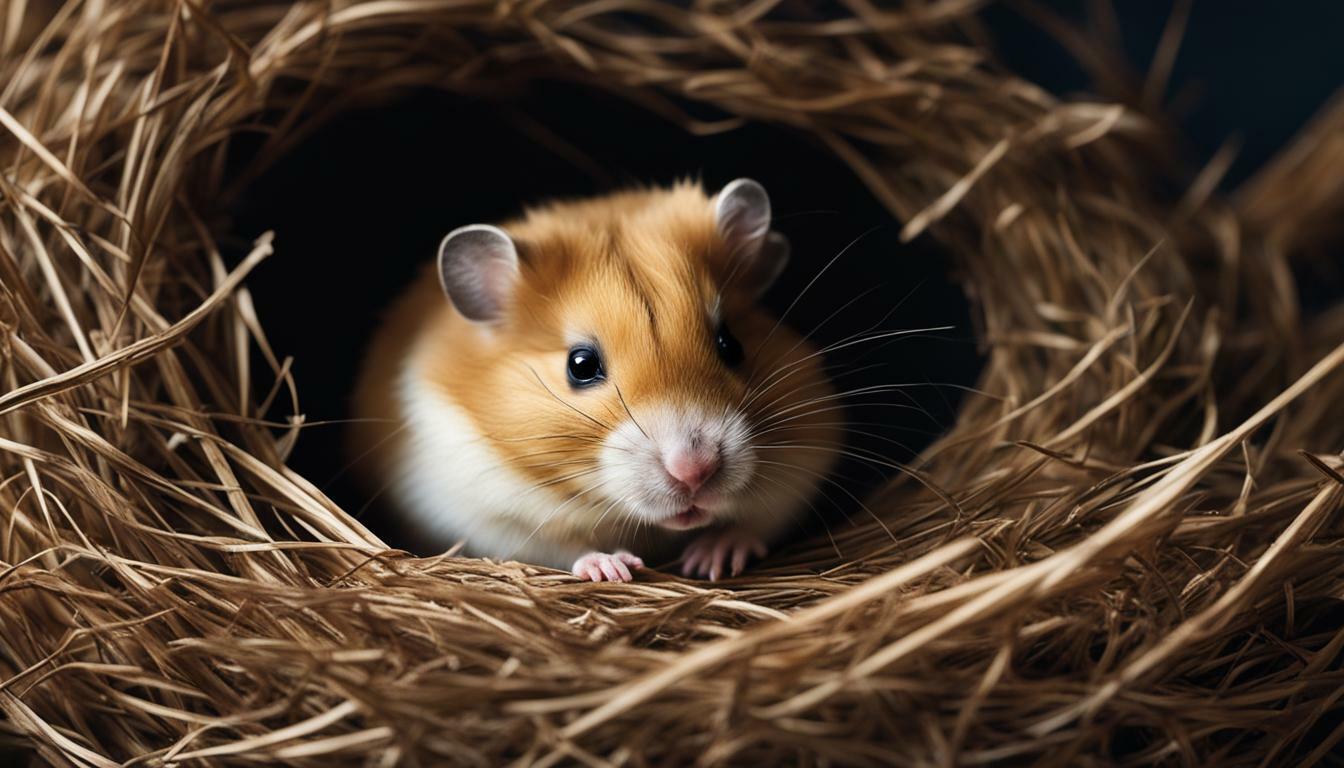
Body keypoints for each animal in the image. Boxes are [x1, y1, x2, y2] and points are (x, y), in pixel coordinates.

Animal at [349, 179, 842, 581]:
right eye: (581, 365)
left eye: (731, 344)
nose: (694, 471)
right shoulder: (476, 515)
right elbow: (559, 548)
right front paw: (616, 567)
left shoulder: (804, 462)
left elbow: (758, 520)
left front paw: (712, 558)